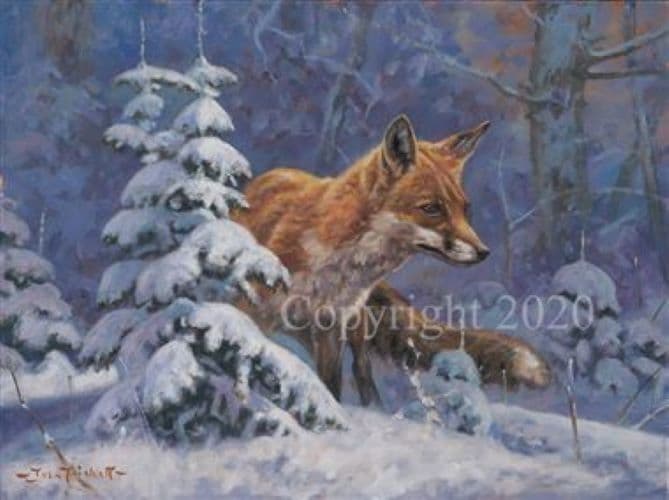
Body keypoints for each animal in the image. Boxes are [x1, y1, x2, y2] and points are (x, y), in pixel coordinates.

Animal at [232, 114, 551, 406]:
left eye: (465, 209)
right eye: (432, 208)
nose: (484, 251)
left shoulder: (331, 329)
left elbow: (332, 387)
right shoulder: (251, 315)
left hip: (352, 328)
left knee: (362, 369)